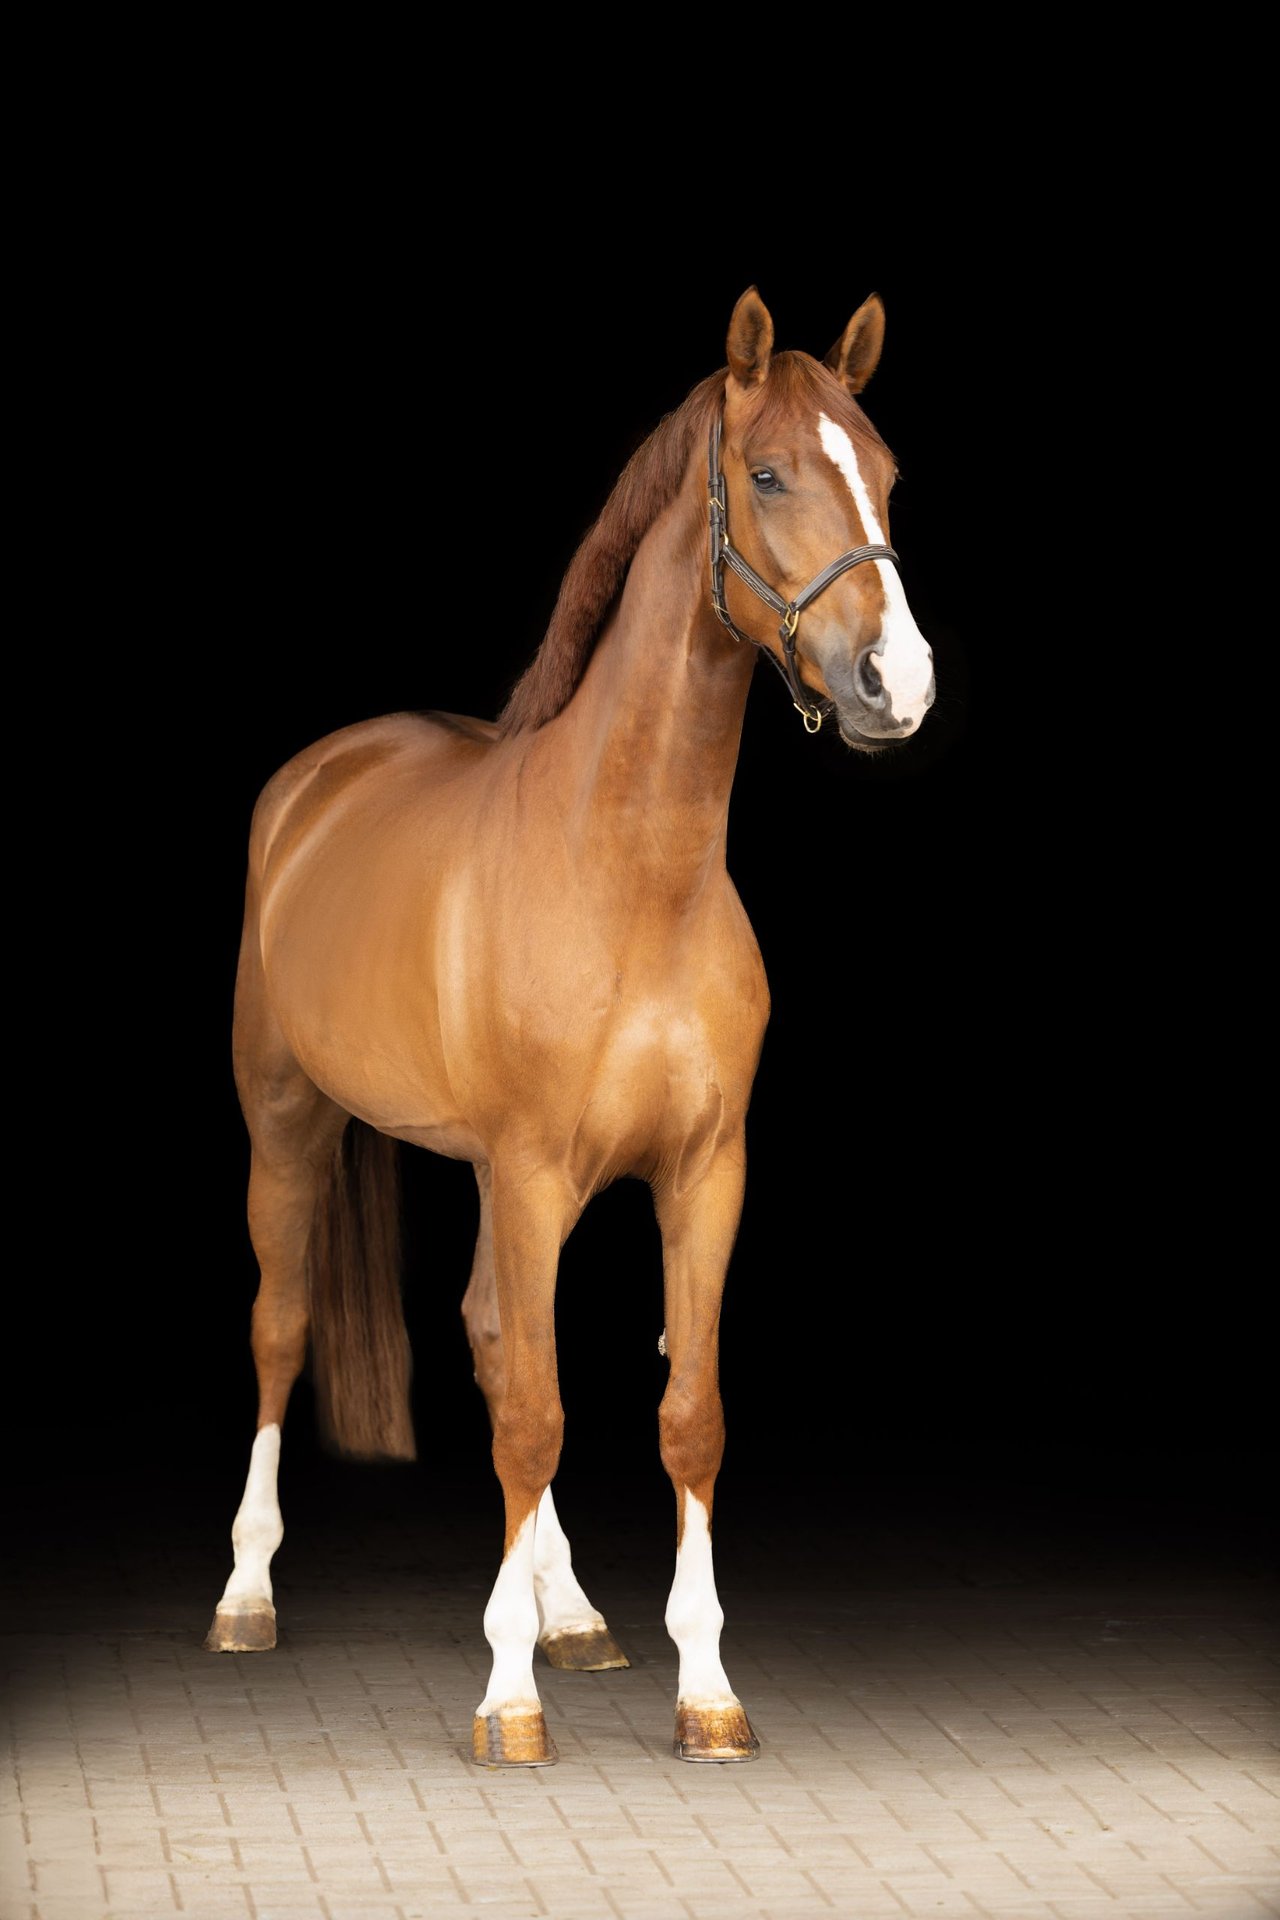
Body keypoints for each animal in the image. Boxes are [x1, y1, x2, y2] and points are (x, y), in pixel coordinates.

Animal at [204, 286, 936, 1766]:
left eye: (886, 476)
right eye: (768, 473)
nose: (898, 682)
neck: (630, 868)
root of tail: (316, 777)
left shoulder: (702, 1177)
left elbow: (683, 1417)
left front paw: (702, 1687)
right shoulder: (536, 1171)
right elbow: (535, 1414)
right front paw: (506, 1699)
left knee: (489, 1333)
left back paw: (572, 1612)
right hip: (290, 1124)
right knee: (284, 1326)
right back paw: (248, 1596)